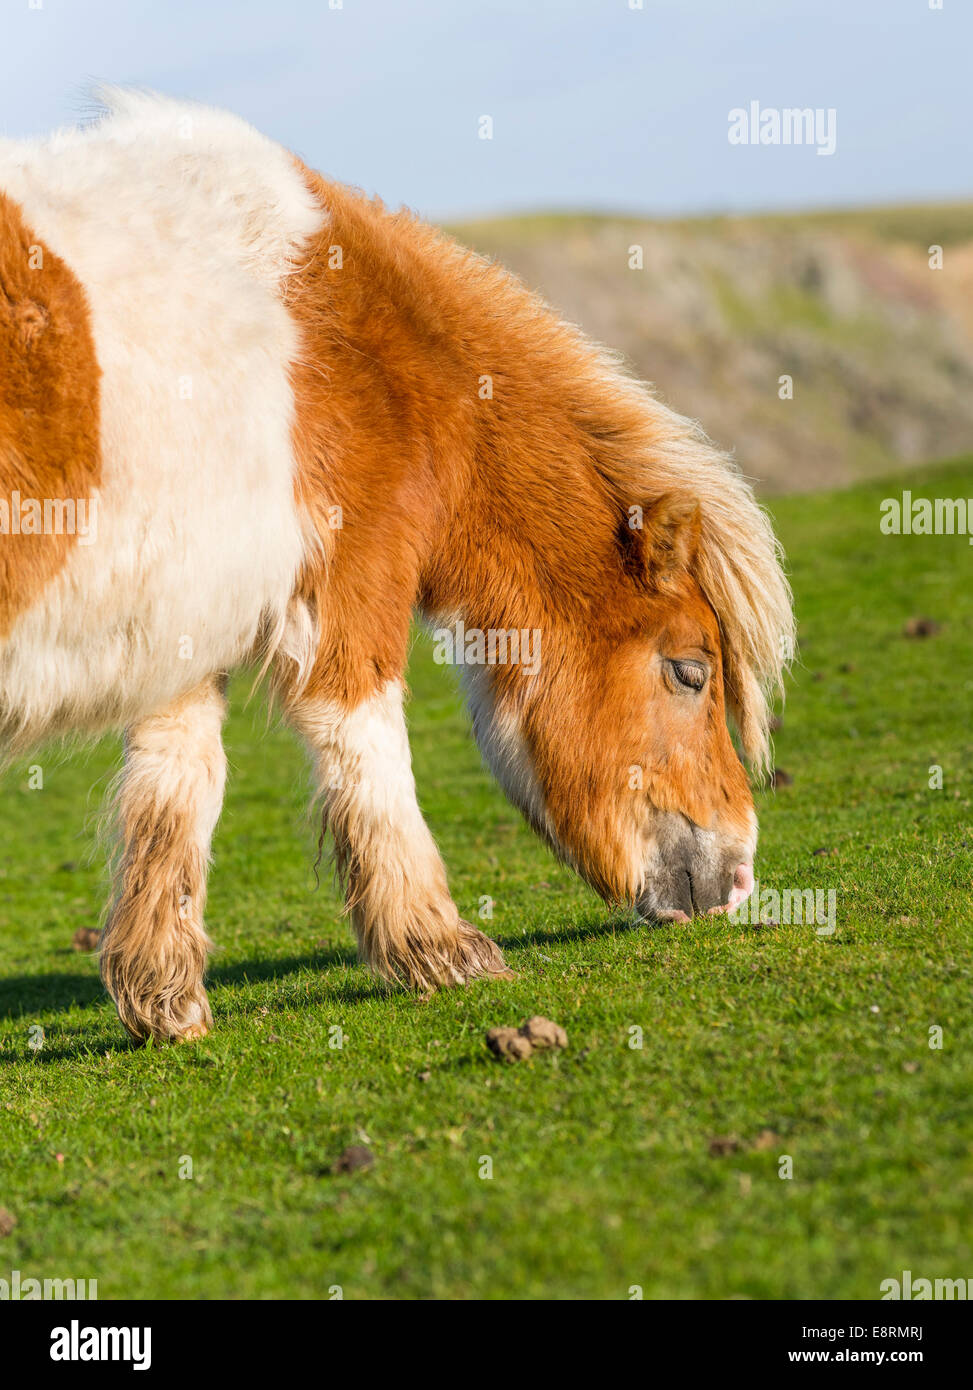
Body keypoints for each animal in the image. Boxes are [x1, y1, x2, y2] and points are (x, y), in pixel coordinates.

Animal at [0, 90, 793, 1041]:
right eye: (689, 671)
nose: (737, 879)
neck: (365, 349)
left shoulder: (191, 625)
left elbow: (176, 786)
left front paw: (164, 996)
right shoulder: (351, 587)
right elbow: (368, 756)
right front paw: (437, 947)